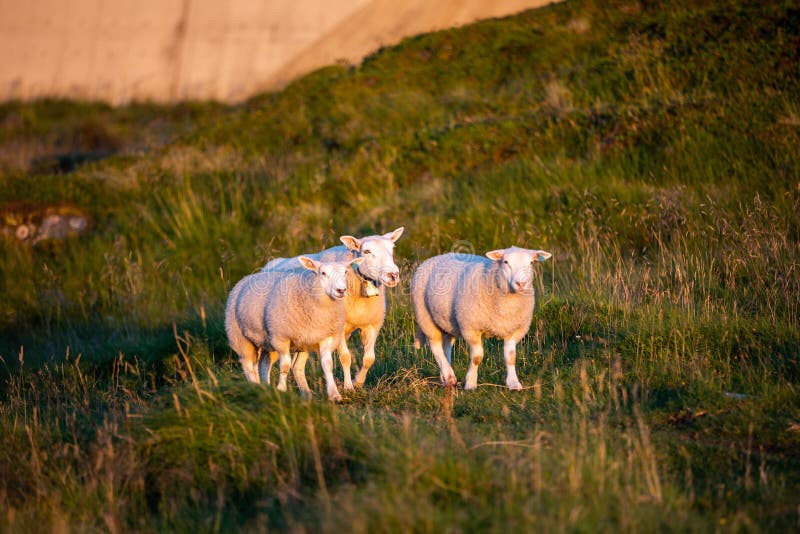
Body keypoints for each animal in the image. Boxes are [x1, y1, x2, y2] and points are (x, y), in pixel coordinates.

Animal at [225, 256, 362, 401]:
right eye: (323, 273)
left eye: (345, 272)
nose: (341, 290)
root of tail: (245, 278)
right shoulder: (281, 338)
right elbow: (285, 366)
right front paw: (281, 390)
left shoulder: (326, 336)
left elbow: (327, 365)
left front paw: (334, 394)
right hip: (241, 338)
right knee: (248, 365)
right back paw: (255, 386)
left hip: (275, 342)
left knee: (266, 365)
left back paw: (276, 390)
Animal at [262, 227, 404, 389]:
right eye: (367, 251)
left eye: (392, 249)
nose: (393, 275)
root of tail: (271, 263)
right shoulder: (338, 329)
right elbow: (345, 357)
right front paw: (348, 387)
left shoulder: (372, 324)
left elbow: (369, 359)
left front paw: (358, 382)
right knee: (267, 363)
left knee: (296, 366)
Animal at [411, 246, 552, 390]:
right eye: (506, 262)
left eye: (531, 263)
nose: (521, 284)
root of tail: (435, 257)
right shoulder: (471, 328)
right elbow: (477, 357)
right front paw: (471, 384)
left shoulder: (515, 330)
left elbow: (511, 357)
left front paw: (513, 383)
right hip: (425, 317)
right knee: (435, 346)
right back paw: (449, 375)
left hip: (447, 322)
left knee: (446, 346)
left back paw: (446, 378)